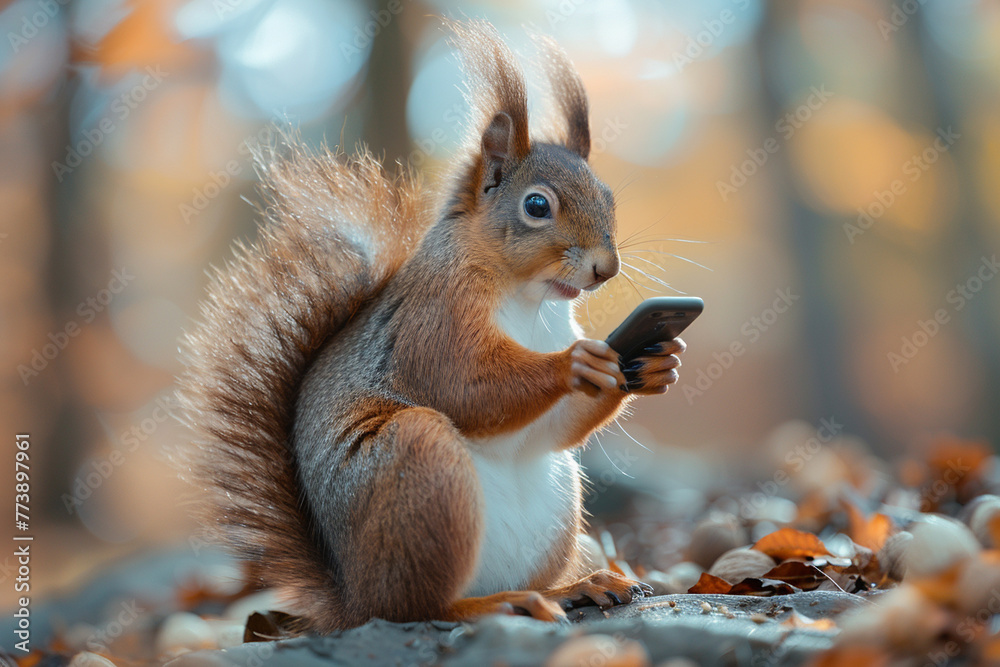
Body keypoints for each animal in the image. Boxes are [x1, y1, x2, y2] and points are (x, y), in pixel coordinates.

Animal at [177, 20, 686, 632]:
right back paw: (495, 604)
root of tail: (352, 600)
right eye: (537, 206)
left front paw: (656, 364)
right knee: (416, 607)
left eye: (608, 195)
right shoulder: (434, 317)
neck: (528, 296)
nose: (605, 269)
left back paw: (574, 587)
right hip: (417, 460)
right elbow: (463, 384)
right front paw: (575, 362)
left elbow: (550, 428)